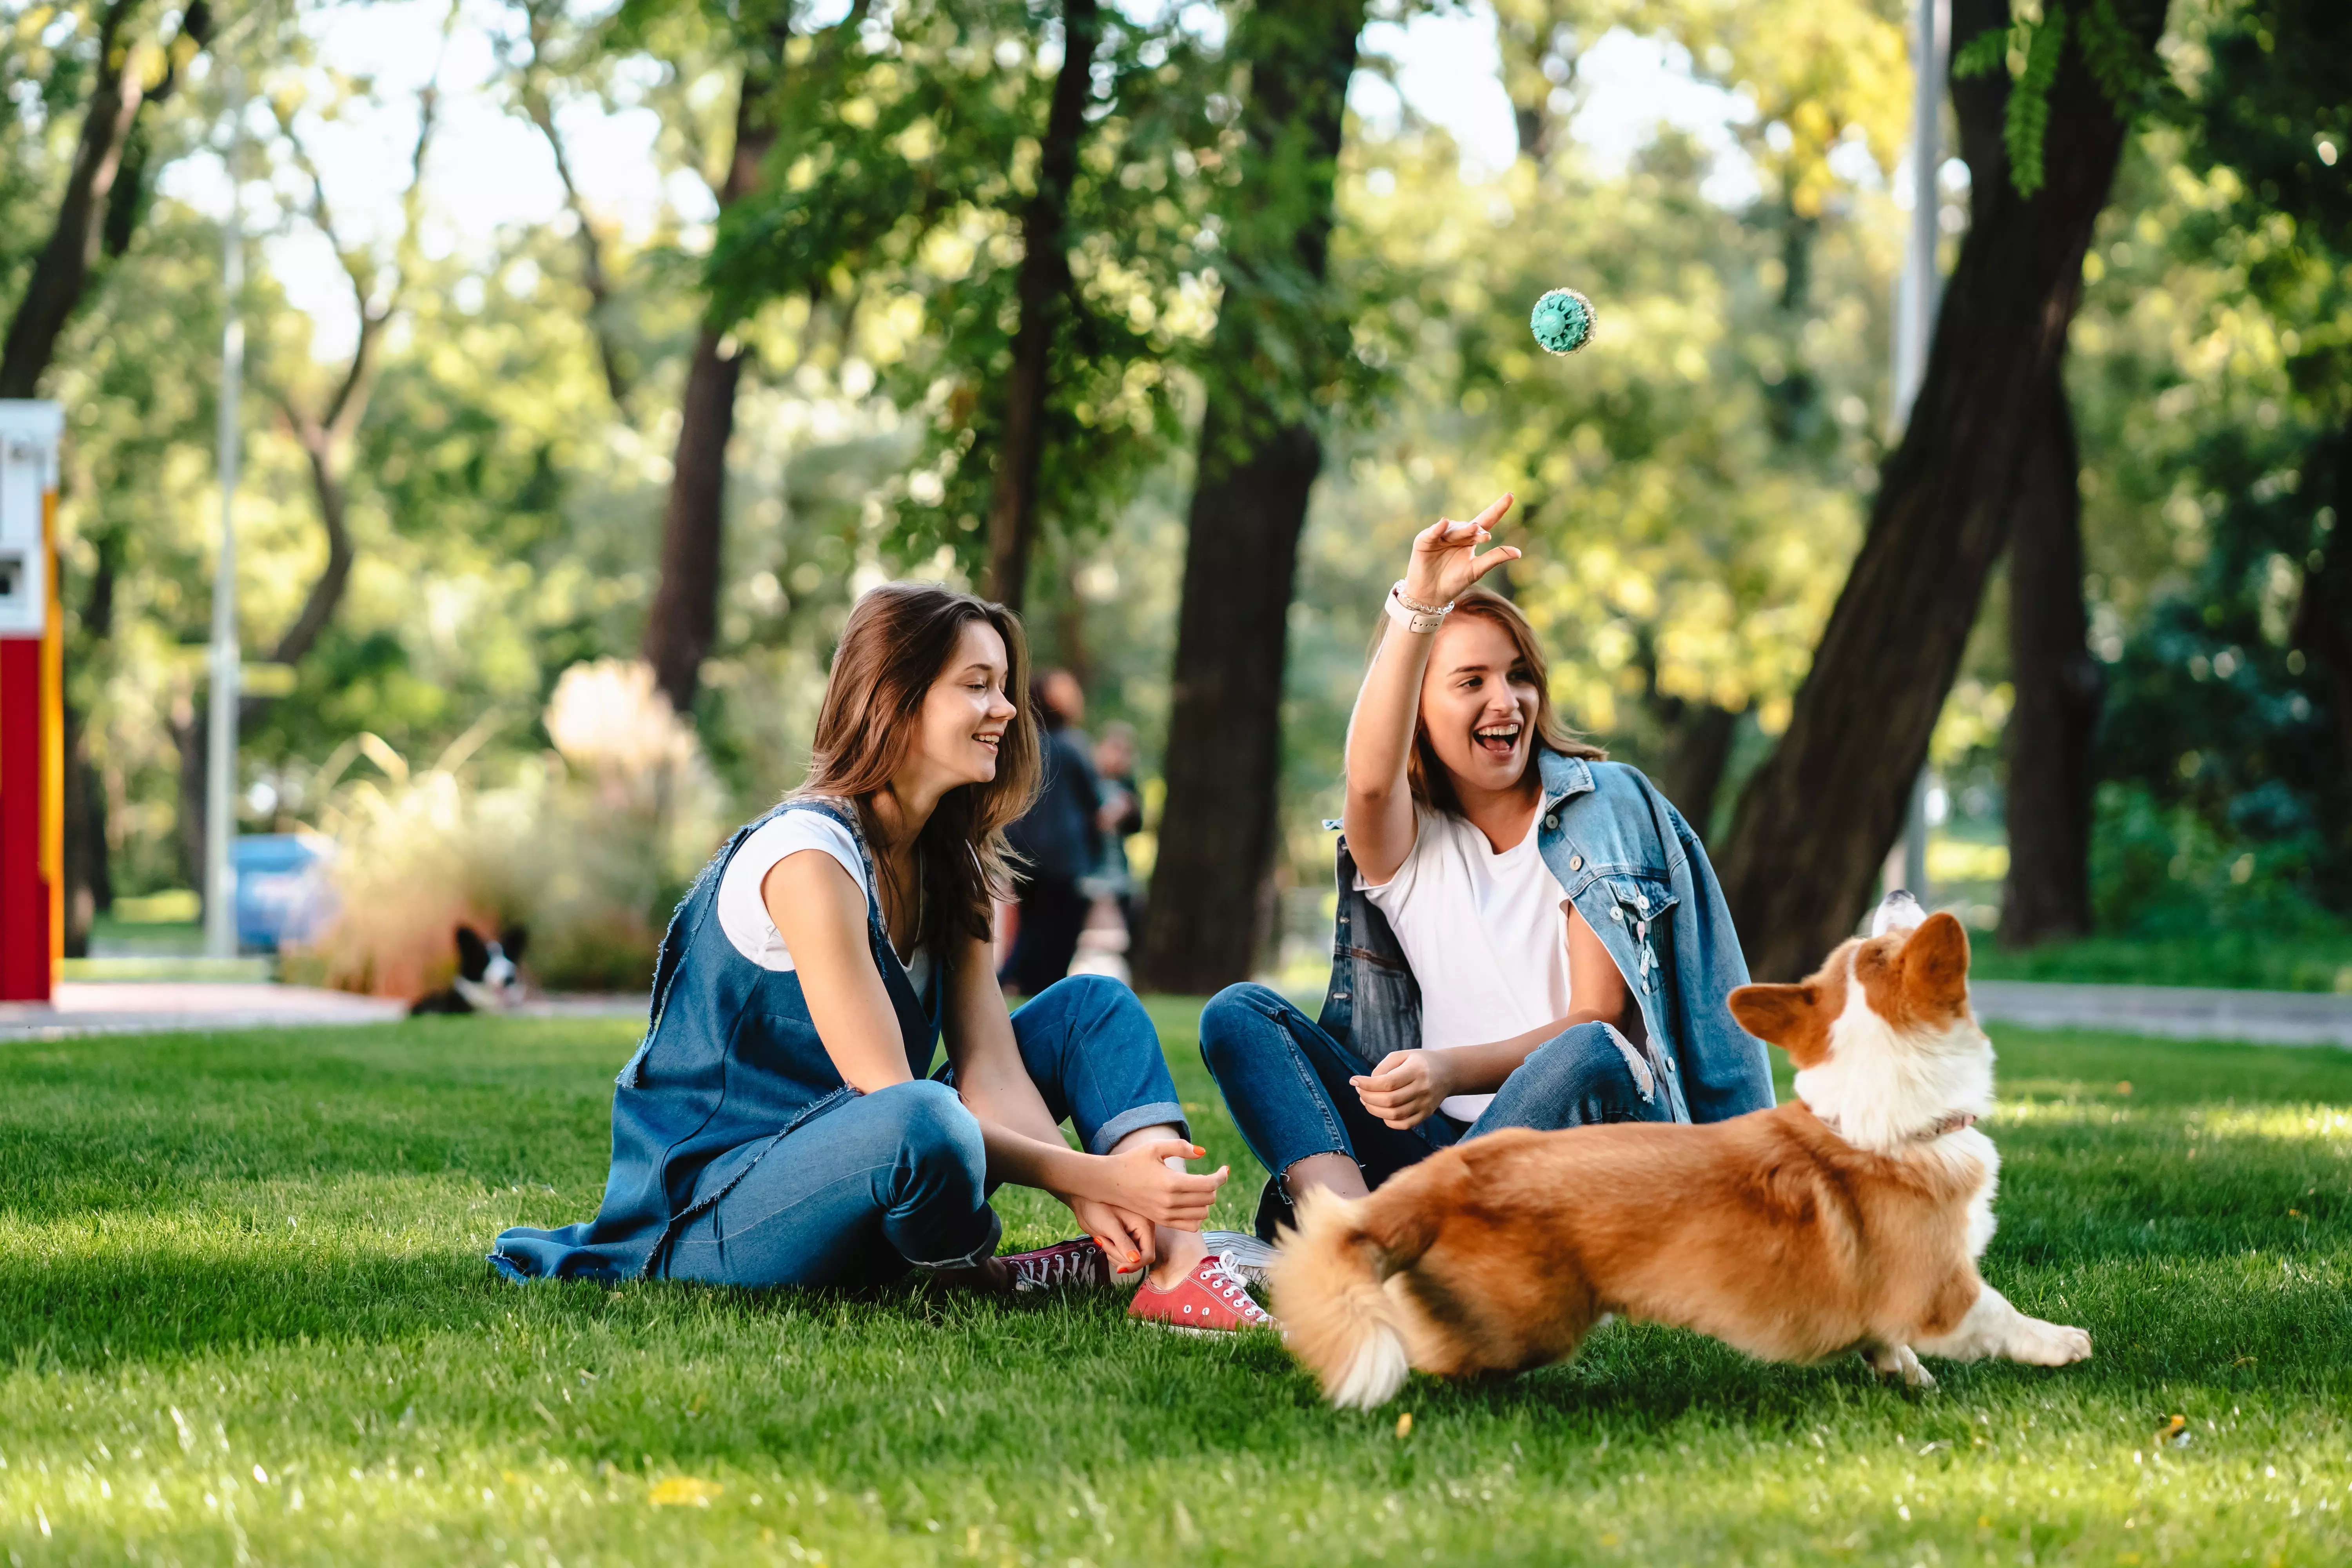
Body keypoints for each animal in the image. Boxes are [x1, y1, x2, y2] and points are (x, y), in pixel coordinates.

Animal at [1279, 893, 2089, 1410]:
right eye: (1884, 947)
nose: (1896, 887)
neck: (1883, 1106)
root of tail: (1440, 1181)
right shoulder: (1941, 1290)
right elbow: (1998, 1315)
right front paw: (2064, 1344)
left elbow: (1891, 1345)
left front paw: (1910, 1379)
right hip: (1527, 1326)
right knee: (1426, 1350)